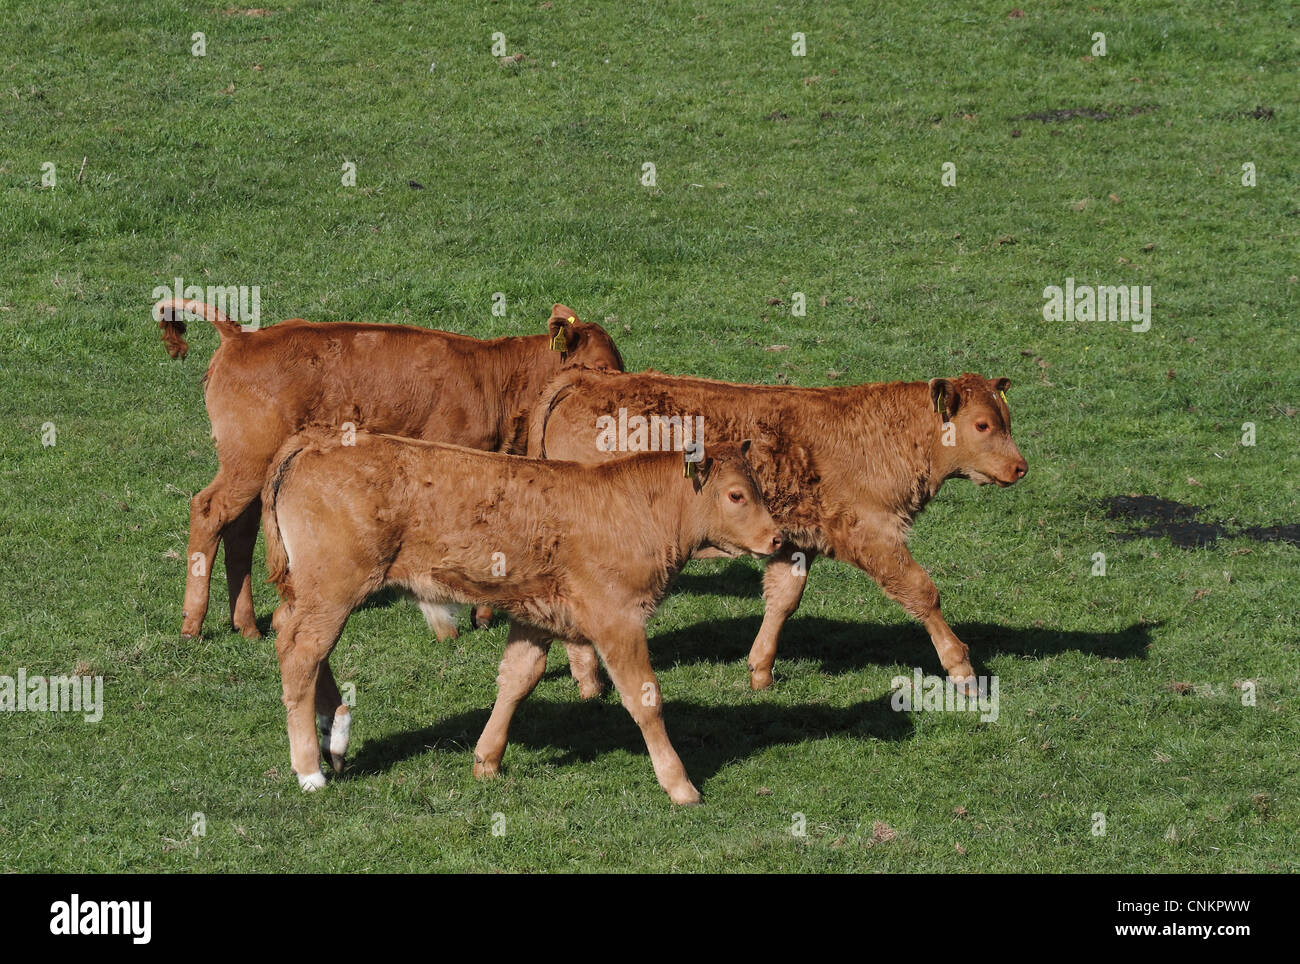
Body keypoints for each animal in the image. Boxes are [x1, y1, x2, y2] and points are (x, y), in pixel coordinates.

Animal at [154, 298, 623, 640]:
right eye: (601, 366)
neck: (495, 381)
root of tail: (243, 337)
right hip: (246, 463)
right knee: (208, 511)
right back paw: (192, 626)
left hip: (253, 469)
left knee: (240, 529)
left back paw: (248, 627)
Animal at [260, 429, 782, 804]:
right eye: (736, 495)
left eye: (757, 487)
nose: (778, 538)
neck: (634, 510)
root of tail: (318, 438)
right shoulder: (618, 619)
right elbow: (644, 698)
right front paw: (680, 786)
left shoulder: (537, 613)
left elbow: (517, 678)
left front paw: (486, 761)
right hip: (334, 587)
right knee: (301, 652)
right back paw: (309, 769)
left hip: (321, 592)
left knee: (301, 642)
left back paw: (336, 737)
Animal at [516, 369, 1028, 693]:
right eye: (983, 424)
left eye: (1007, 419)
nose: (1020, 467)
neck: (882, 436)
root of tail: (591, 378)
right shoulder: (874, 532)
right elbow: (922, 592)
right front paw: (961, 667)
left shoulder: (796, 542)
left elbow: (783, 600)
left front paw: (760, 670)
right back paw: (589, 682)